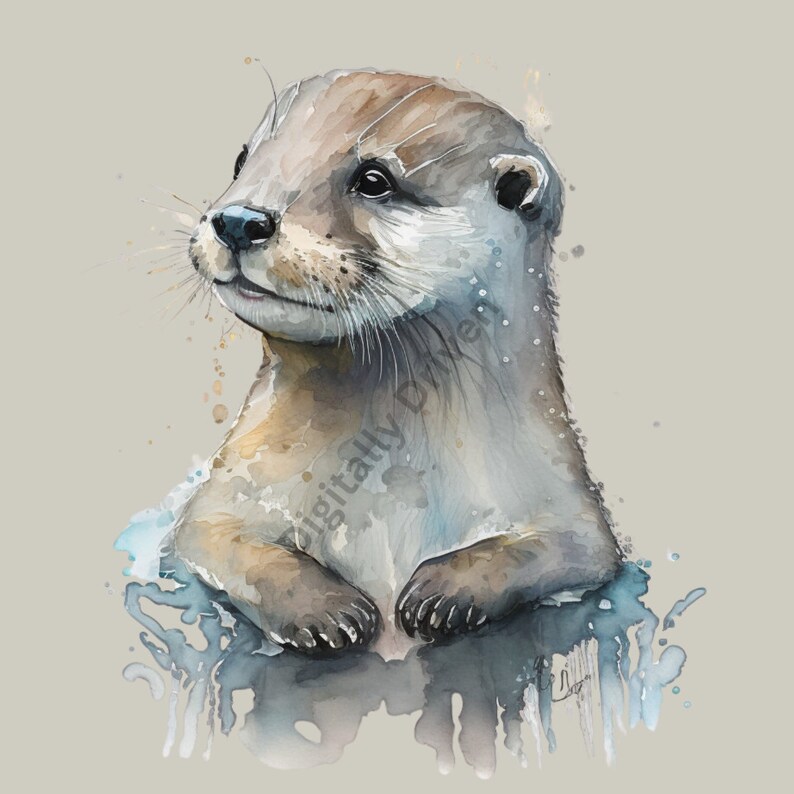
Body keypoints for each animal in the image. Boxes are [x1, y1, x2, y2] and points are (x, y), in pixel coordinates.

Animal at [172, 69, 622, 656]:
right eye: (242, 159)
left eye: (374, 179)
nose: (239, 218)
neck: (393, 484)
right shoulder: (224, 496)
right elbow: (216, 542)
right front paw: (325, 609)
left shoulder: (572, 506)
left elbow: (569, 550)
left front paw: (444, 592)